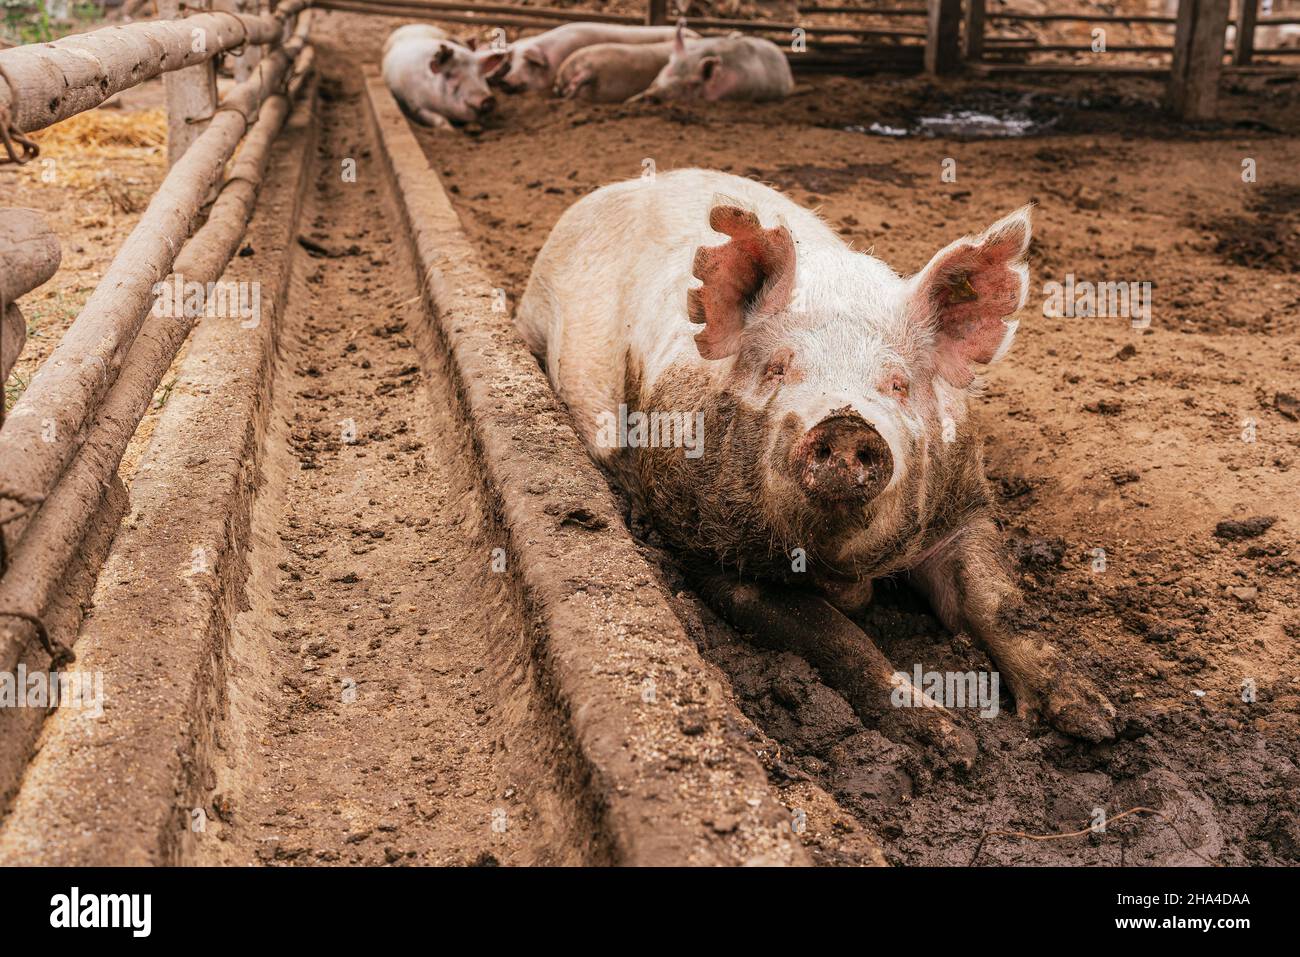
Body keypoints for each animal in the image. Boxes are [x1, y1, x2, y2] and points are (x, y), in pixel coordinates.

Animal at [516, 169, 1117, 756]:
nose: (846, 424)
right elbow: (834, 634)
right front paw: (952, 744)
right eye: (779, 369)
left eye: (898, 384)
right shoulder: (706, 550)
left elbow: (998, 603)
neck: (845, 566)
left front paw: (1096, 720)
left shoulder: (965, 508)